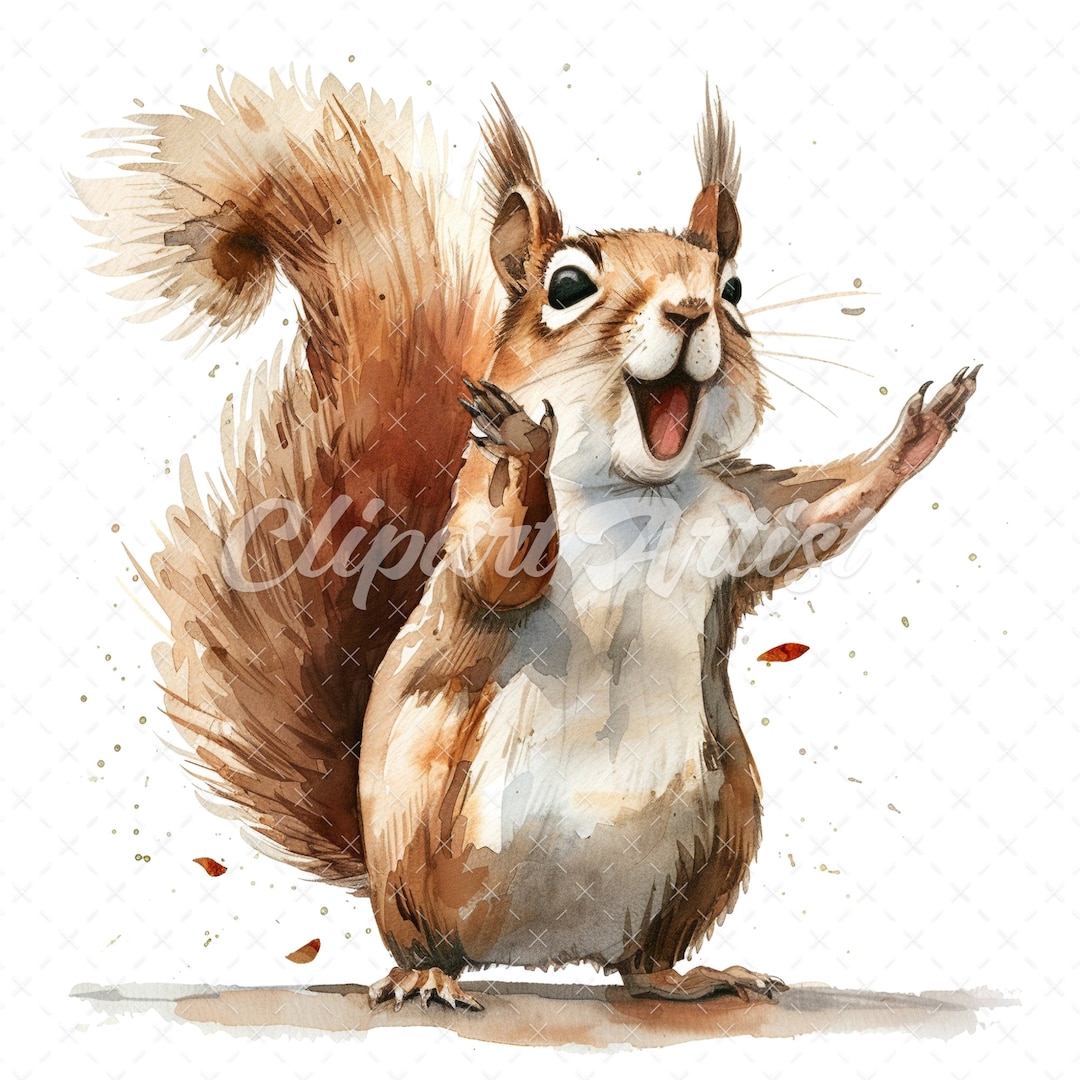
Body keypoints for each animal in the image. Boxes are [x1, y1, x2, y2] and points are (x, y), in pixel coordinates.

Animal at [78, 71, 979, 1010]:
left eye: (733, 290)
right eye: (568, 284)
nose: (692, 310)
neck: (634, 492)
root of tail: (543, 949)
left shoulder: (746, 520)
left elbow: (818, 518)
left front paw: (918, 434)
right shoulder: (467, 525)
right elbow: (497, 569)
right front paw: (525, 443)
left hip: (724, 824)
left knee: (643, 960)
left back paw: (691, 976)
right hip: (418, 839)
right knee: (421, 937)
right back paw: (427, 975)